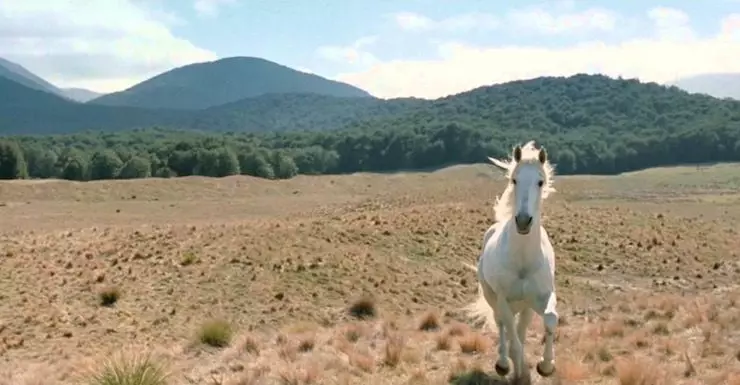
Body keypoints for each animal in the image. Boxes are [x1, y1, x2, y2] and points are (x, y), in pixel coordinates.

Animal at [466, 141, 556, 380]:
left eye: (540, 182)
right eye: (514, 180)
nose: (523, 221)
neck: (523, 260)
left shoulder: (543, 296)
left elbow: (550, 318)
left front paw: (546, 366)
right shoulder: (503, 300)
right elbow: (512, 338)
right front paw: (517, 370)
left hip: (525, 306)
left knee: (521, 329)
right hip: (493, 298)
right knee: (502, 326)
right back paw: (504, 364)